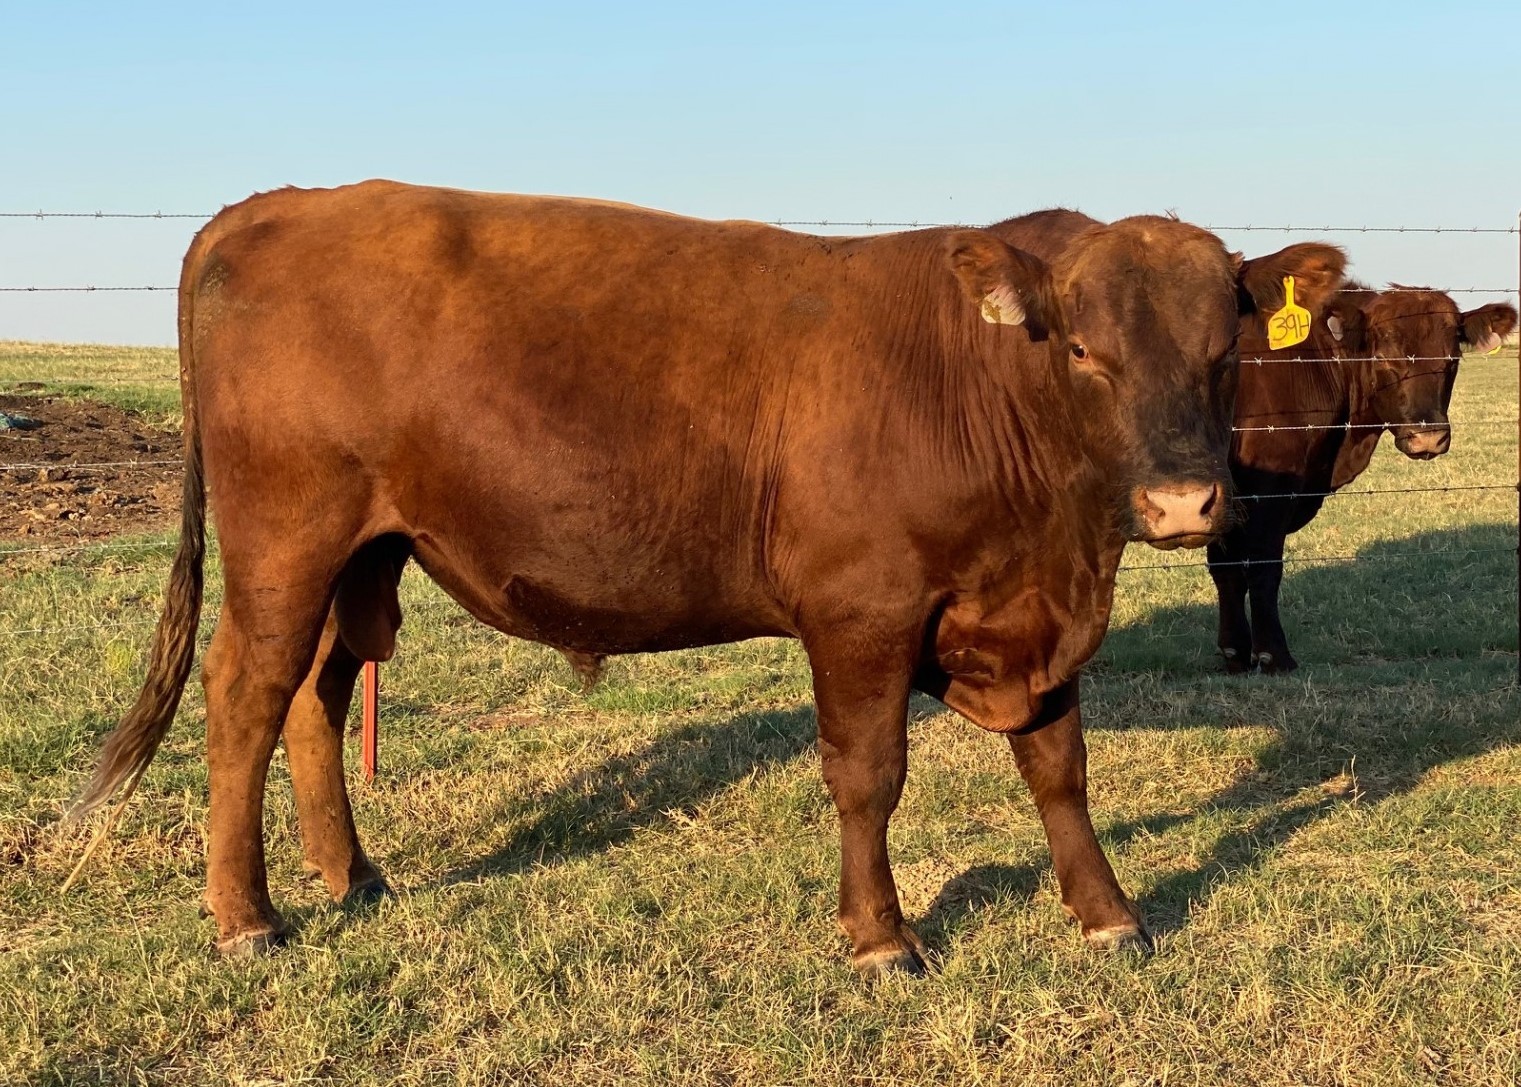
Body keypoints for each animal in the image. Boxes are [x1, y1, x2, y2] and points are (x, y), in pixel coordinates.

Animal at [67, 181, 1345, 976]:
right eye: (1084, 349)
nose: (1183, 504)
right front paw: (881, 938)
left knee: (319, 699)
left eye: (1224, 353)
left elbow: (1059, 770)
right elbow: (868, 776)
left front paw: (1108, 914)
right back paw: (247, 916)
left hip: (364, 556)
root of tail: (284, 203)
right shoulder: (862, 612)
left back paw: (350, 875)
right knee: (246, 698)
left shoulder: (1034, 612)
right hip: (286, 544)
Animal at [1208, 284, 1517, 673]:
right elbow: (1262, 567)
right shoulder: (1271, 489)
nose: (1428, 437)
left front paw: (1234, 653)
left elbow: (1226, 570)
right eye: (1384, 358)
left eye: (1452, 359)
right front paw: (1274, 655)